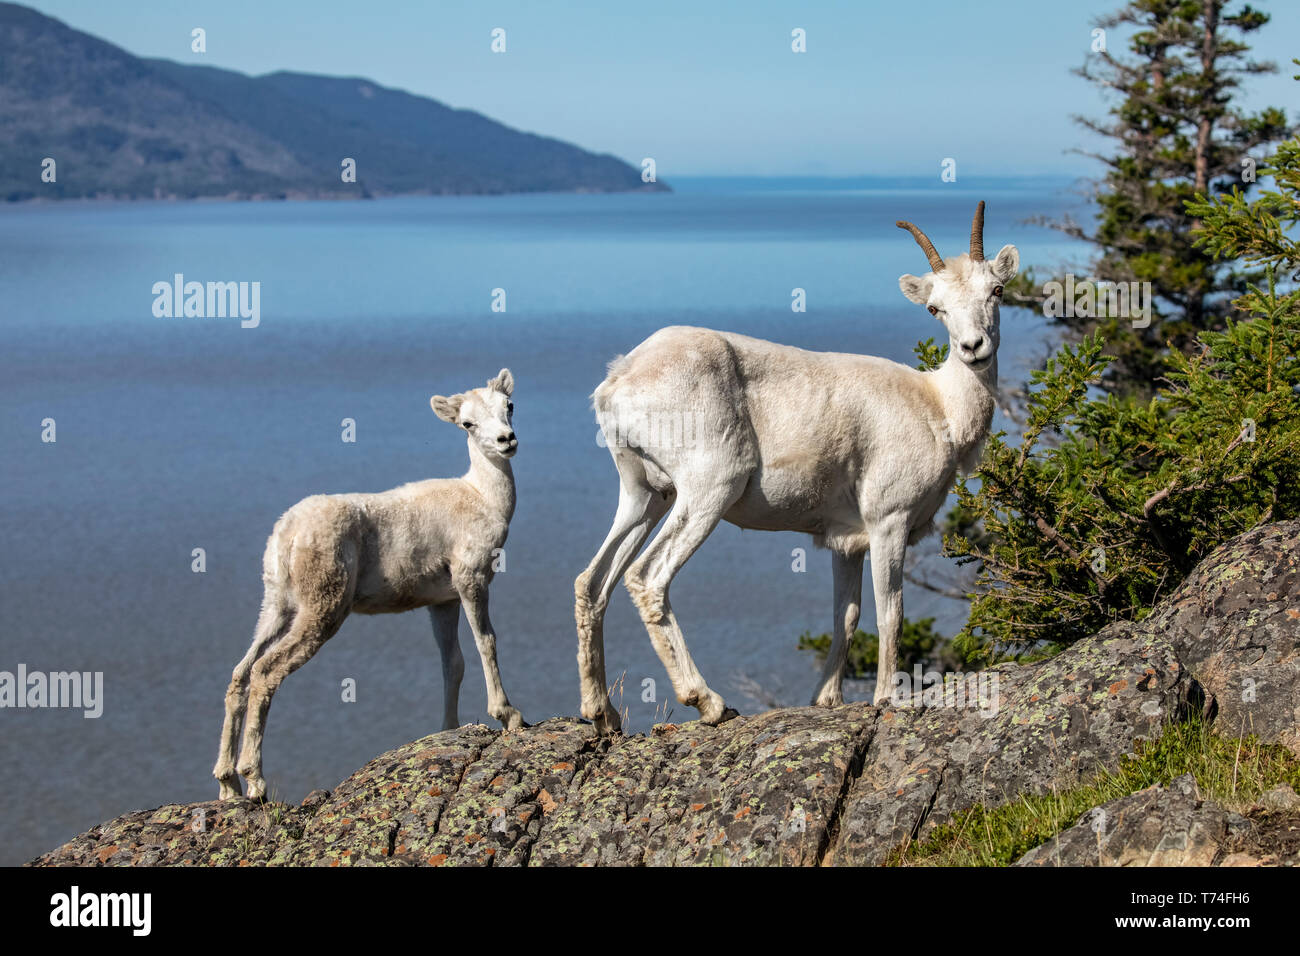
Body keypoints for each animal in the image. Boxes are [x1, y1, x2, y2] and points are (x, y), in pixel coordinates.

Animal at [213, 369, 525, 800]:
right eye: (467, 423)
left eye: (509, 406)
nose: (506, 440)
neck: (482, 498)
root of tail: (286, 534)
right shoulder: (471, 579)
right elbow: (486, 643)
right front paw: (509, 715)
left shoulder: (442, 601)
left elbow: (453, 663)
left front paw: (448, 728)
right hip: (323, 609)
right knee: (265, 671)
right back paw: (255, 780)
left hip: (277, 607)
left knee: (240, 673)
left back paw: (227, 785)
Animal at [574, 203, 1018, 732]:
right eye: (936, 308)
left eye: (996, 290)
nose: (974, 348)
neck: (939, 405)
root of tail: (618, 379)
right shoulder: (888, 522)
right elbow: (890, 612)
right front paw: (889, 697)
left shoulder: (847, 543)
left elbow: (847, 615)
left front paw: (825, 699)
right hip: (709, 489)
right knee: (648, 577)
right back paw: (709, 702)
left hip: (646, 494)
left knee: (593, 582)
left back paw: (602, 715)